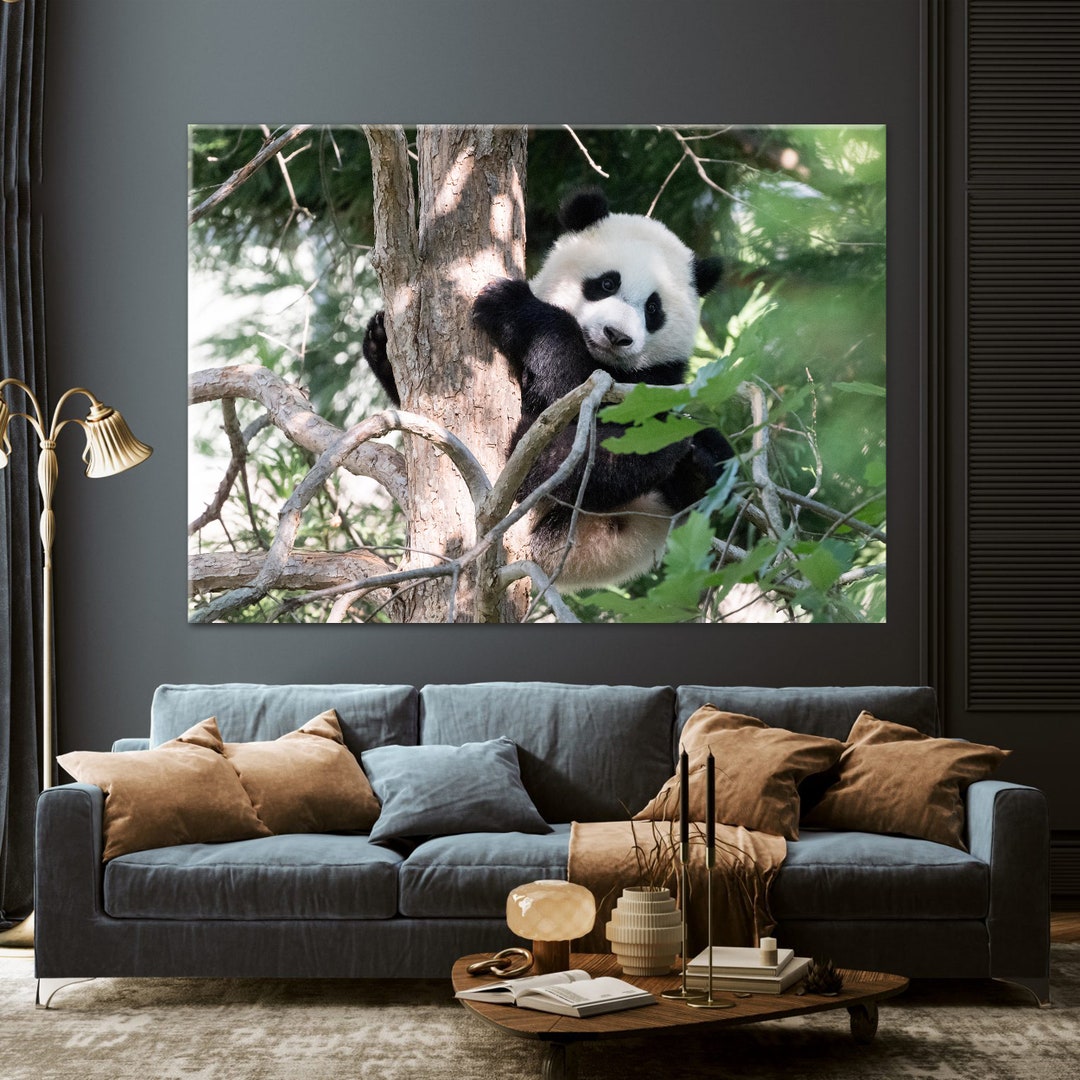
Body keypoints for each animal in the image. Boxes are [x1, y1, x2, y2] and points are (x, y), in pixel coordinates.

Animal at [362, 187, 732, 592]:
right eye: (607, 283)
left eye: (653, 309)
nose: (617, 335)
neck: (603, 358)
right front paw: (381, 340)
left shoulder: (658, 380)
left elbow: (567, 391)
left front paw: (511, 305)